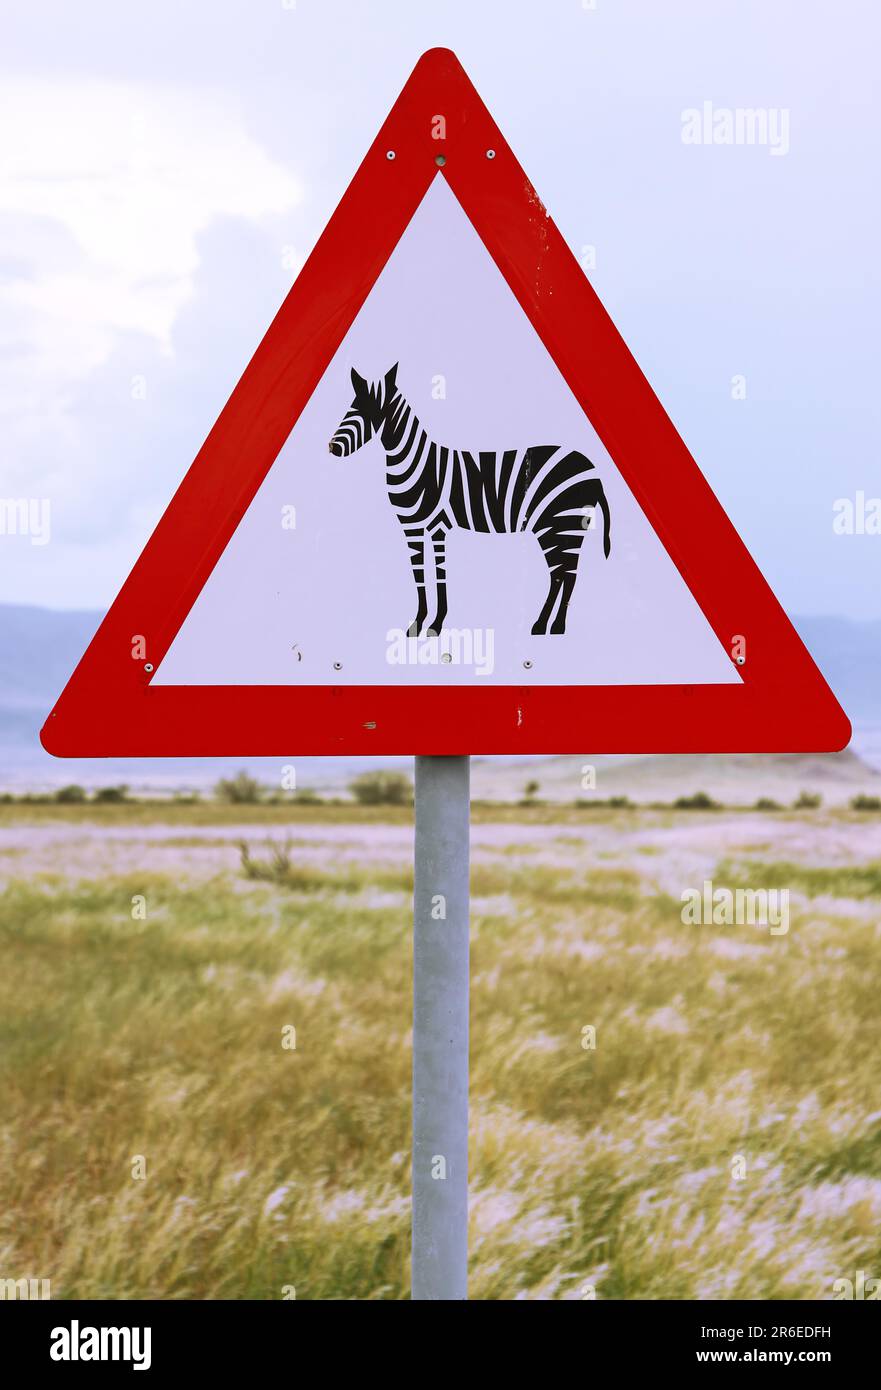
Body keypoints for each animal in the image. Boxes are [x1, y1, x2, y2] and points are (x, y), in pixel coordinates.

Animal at [328, 364, 611, 636]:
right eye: (351, 408)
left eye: (364, 412)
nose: (331, 448)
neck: (415, 464)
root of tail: (594, 472)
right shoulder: (411, 528)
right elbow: (419, 574)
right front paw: (417, 623)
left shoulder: (437, 526)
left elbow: (439, 573)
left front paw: (436, 624)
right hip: (564, 527)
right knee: (564, 573)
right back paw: (549, 626)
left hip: (559, 524)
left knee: (564, 574)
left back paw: (549, 626)